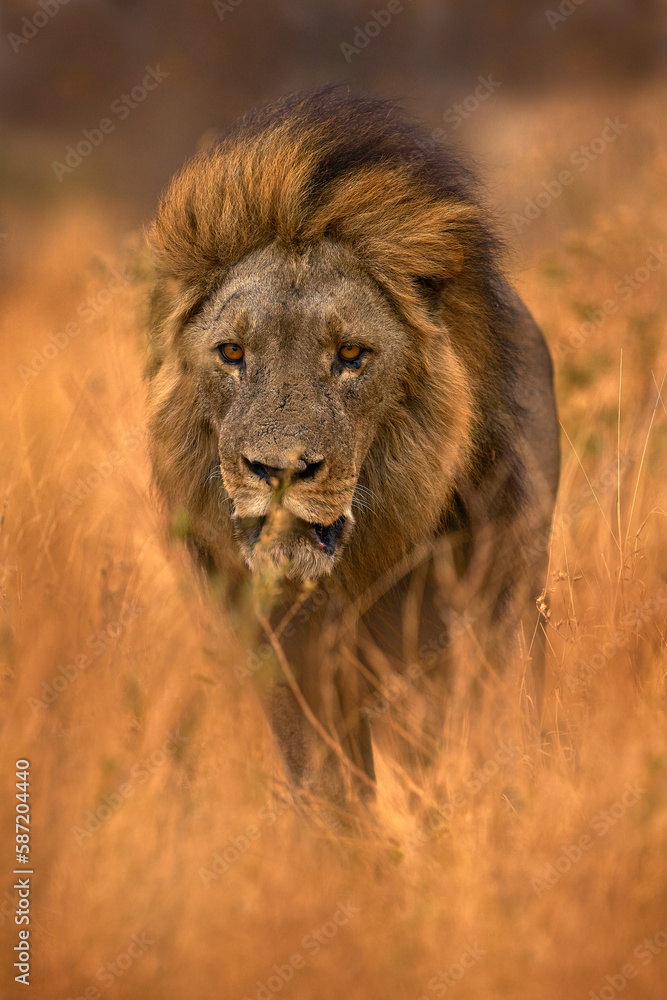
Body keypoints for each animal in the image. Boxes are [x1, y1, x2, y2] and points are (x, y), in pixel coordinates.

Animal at [145, 87, 559, 817]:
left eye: (350, 355)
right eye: (232, 352)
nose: (279, 470)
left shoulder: (478, 616)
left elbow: (468, 740)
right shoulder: (283, 652)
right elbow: (326, 783)